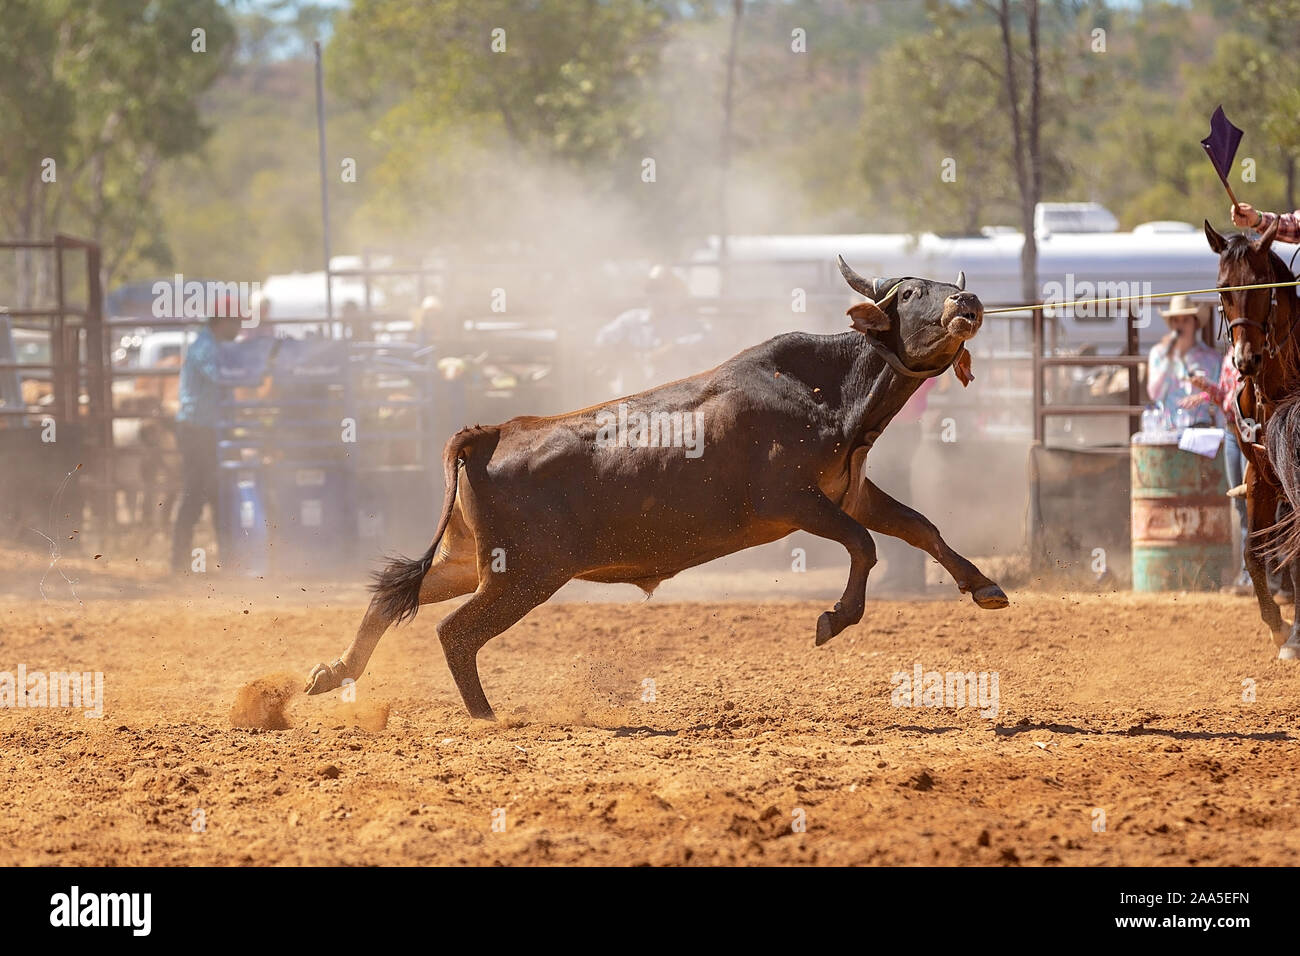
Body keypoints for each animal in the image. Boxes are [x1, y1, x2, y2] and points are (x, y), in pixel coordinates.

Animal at [306, 259, 1009, 718]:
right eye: (912, 291)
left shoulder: (848, 493)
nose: (967, 305)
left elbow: (921, 527)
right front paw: (834, 618)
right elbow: (865, 545)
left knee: (391, 597)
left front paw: (984, 586)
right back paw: (486, 718)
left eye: (952, 285)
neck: (824, 388)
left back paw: (333, 672)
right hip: (523, 574)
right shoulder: (792, 503)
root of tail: (493, 433)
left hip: (471, 560)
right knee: (455, 632)